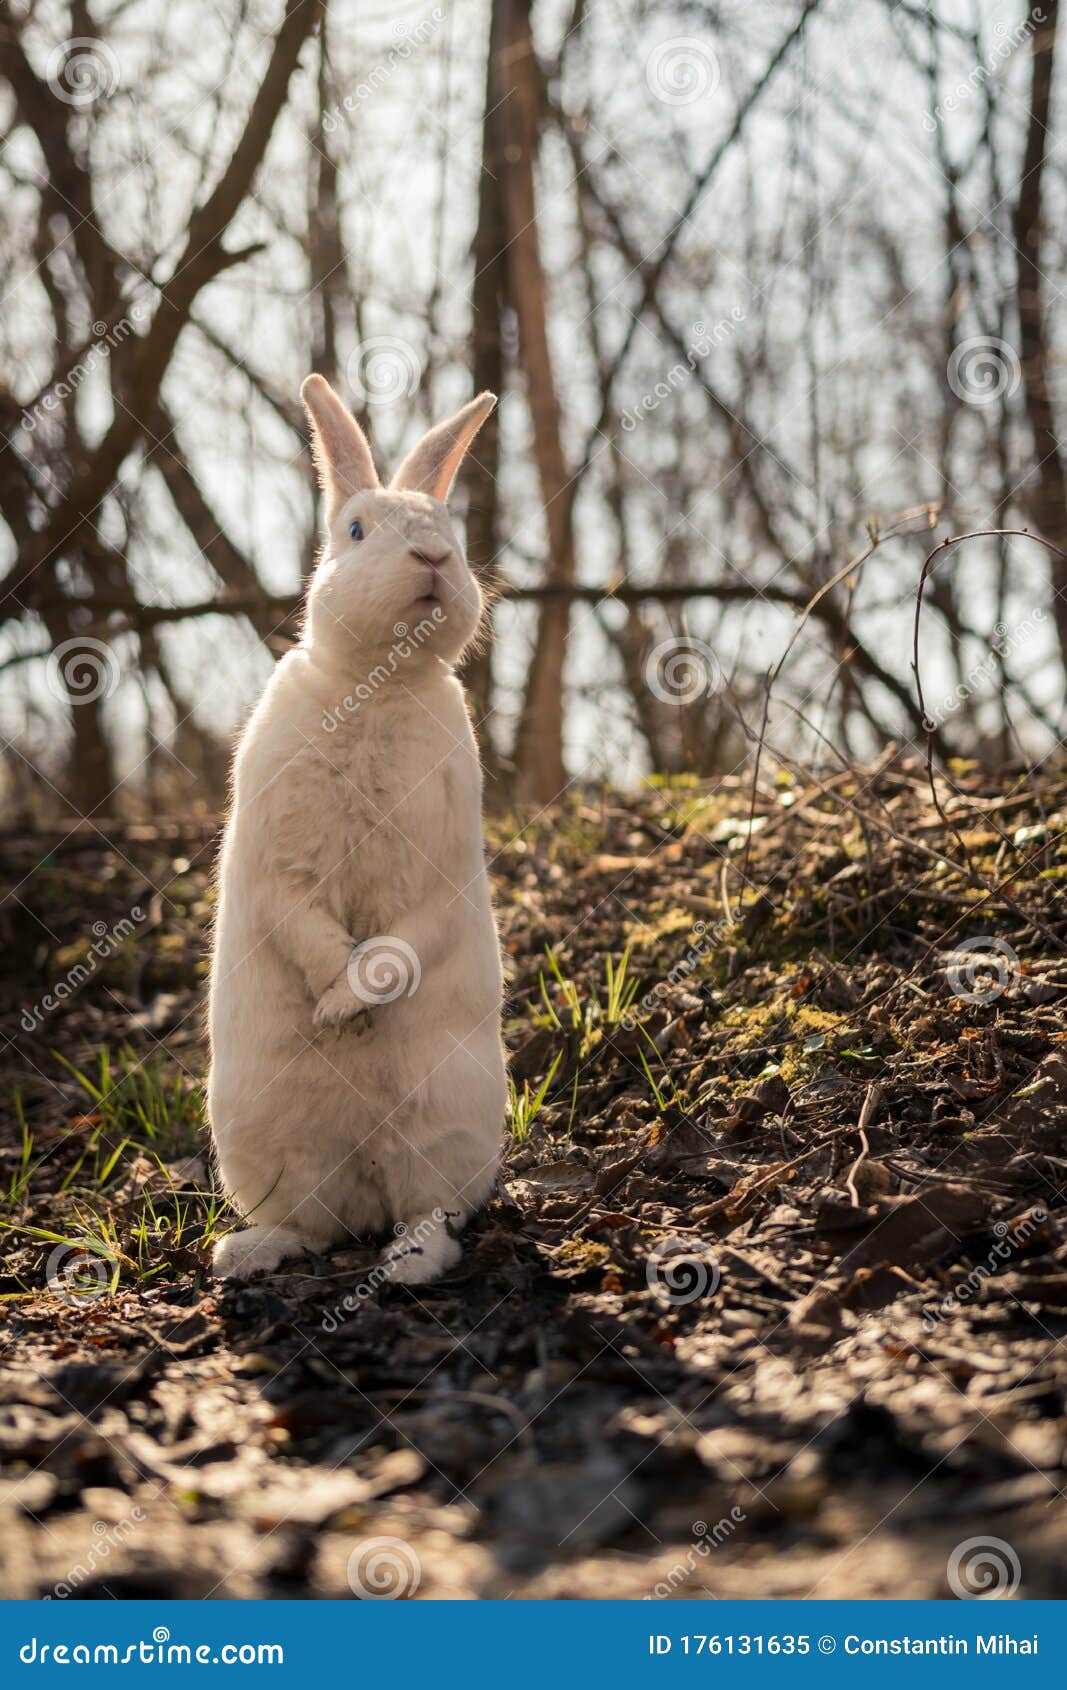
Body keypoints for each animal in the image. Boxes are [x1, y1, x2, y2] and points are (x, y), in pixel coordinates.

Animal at [208, 373, 506, 1287]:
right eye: (356, 531)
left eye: (447, 526)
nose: (433, 559)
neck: (376, 683)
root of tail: (365, 1182)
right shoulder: (277, 867)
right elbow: (303, 923)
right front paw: (338, 1007)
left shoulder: (444, 867)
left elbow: (398, 946)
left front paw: (351, 1002)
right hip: (264, 1142)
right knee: (312, 1223)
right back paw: (245, 1254)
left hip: (450, 1128)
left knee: (429, 1210)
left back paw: (405, 1262)